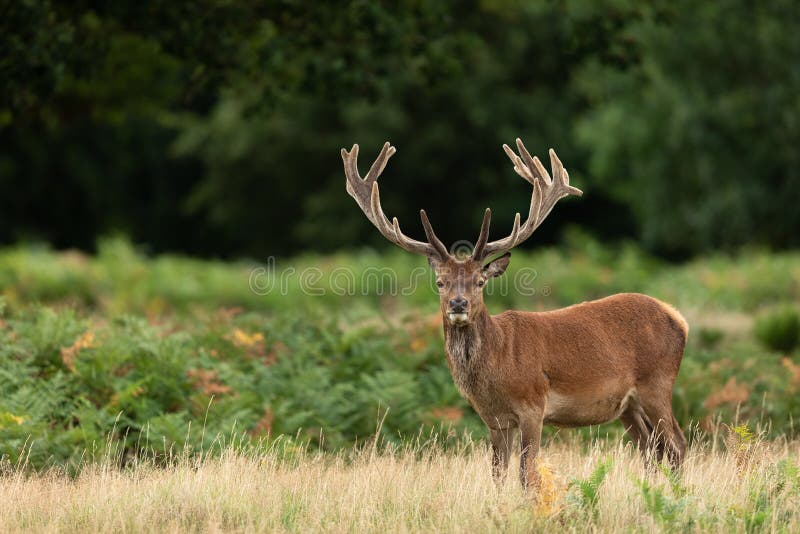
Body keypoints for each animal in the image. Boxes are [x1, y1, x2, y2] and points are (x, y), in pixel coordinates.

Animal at [341, 139, 688, 491]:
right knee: (651, 448)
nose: (458, 304)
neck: (497, 366)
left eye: (480, 281)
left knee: (677, 443)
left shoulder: (533, 404)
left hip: (657, 382)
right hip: (627, 406)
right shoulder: (495, 419)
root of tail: (678, 318)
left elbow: (527, 473)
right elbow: (497, 473)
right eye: (440, 282)